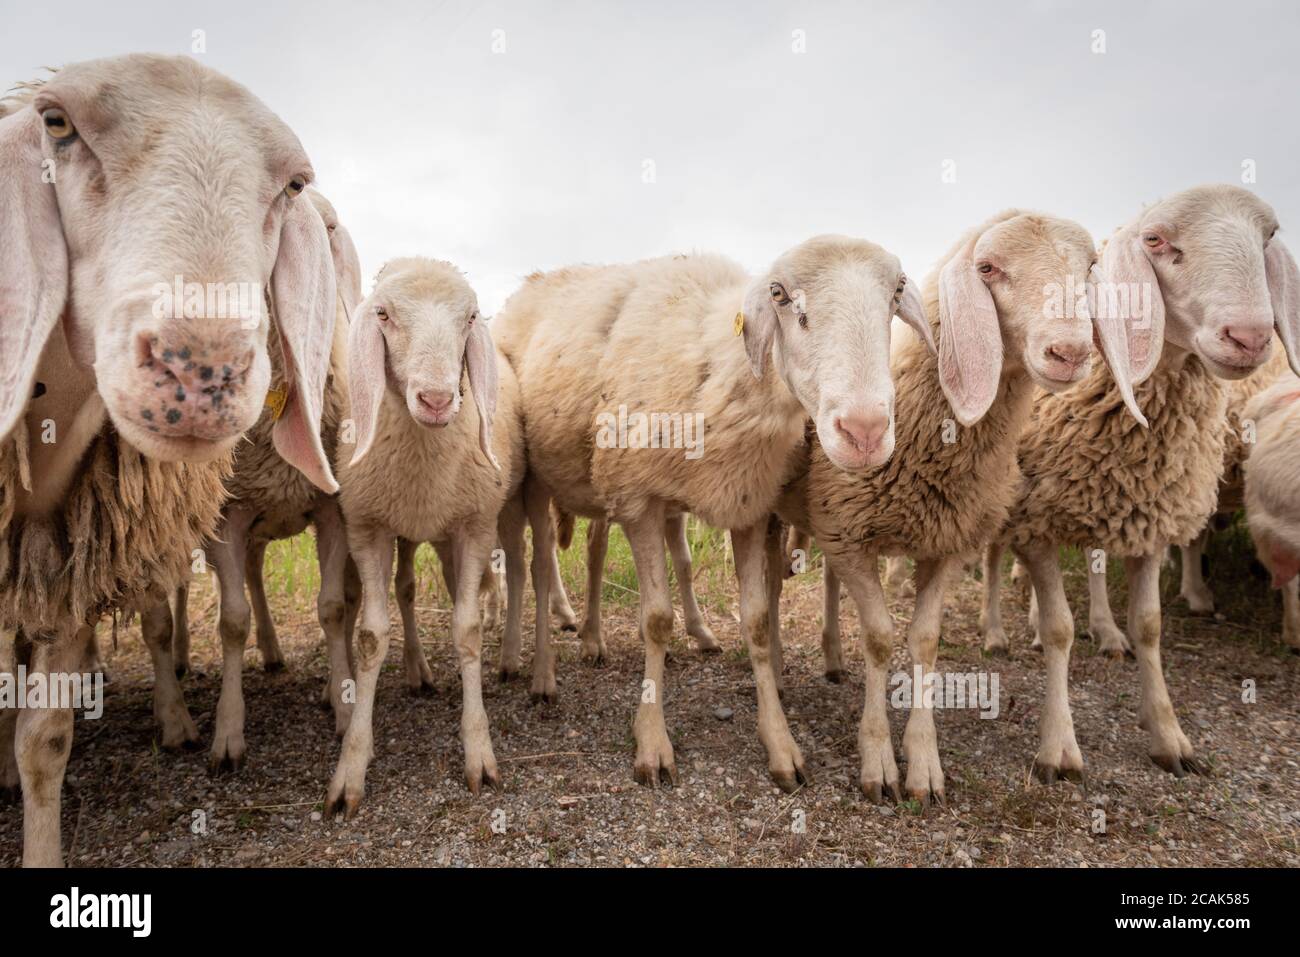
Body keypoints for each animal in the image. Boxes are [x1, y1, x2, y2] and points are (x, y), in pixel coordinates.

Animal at [322, 257, 526, 816]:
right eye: (384, 314)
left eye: (470, 317)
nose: (436, 400)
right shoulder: (365, 527)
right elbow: (371, 636)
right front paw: (351, 768)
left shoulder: (475, 525)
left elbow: (467, 629)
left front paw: (478, 750)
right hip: (408, 529)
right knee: (407, 591)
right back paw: (417, 670)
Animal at [493, 237, 935, 790]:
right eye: (778, 293)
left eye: (897, 292)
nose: (865, 431)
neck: (723, 368)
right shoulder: (638, 498)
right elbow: (655, 619)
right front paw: (652, 743)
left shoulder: (748, 504)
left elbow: (758, 623)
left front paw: (780, 744)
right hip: (532, 478)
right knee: (534, 564)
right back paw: (540, 672)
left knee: (592, 551)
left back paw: (593, 638)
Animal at [775, 212, 1105, 803]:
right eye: (988, 268)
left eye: (1090, 267)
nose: (1069, 353)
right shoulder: (850, 532)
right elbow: (880, 638)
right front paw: (878, 759)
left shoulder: (948, 543)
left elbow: (924, 641)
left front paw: (924, 762)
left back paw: (833, 659)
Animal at [984, 185, 1300, 781]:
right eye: (1154, 240)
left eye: (1269, 236)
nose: (1249, 337)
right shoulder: (1034, 518)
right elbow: (1059, 630)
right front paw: (1059, 746)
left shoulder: (1148, 516)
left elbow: (1150, 625)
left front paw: (1169, 735)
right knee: (994, 561)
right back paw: (997, 630)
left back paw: (1103, 630)